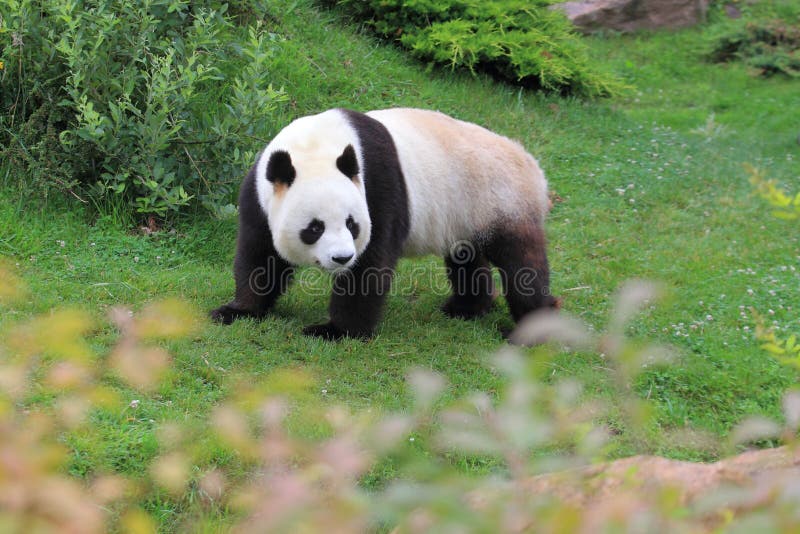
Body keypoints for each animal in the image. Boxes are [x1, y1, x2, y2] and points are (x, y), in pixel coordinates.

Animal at [210, 107, 558, 339]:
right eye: (315, 228)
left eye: (352, 224)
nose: (341, 258)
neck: (315, 147)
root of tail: (534, 166)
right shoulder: (259, 194)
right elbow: (260, 255)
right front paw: (237, 310)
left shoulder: (377, 187)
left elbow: (369, 266)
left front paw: (334, 330)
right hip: (467, 213)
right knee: (466, 258)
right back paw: (466, 308)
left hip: (502, 200)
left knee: (521, 265)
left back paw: (532, 329)